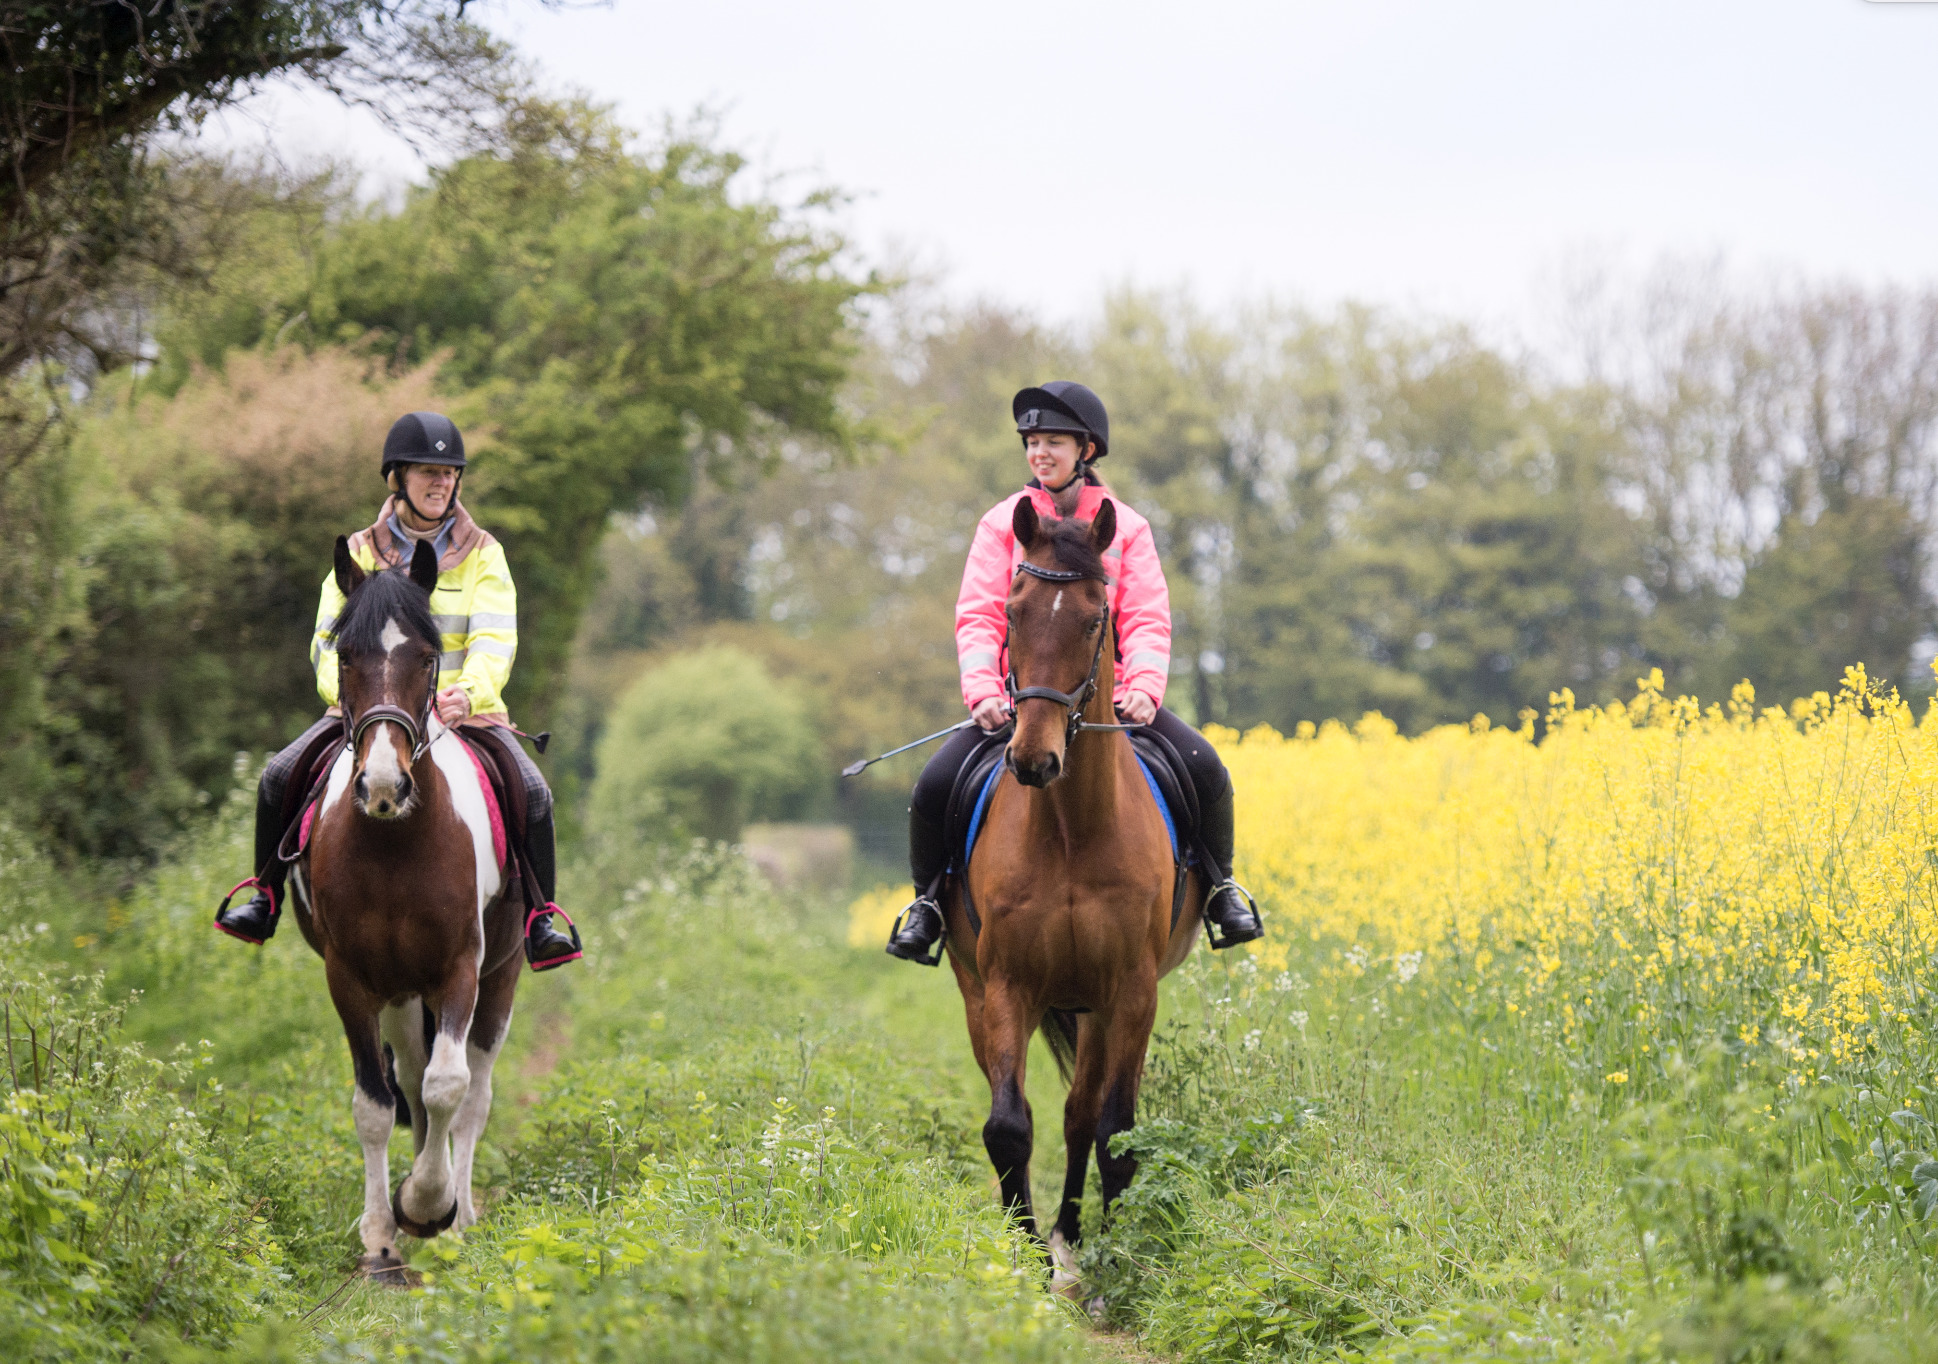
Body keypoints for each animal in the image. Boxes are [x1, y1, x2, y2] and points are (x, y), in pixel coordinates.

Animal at [286, 536, 525, 1278]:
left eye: (425, 657)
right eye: (343, 655)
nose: (385, 785)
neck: (395, 842)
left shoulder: (461, 968)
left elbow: (449, 1087)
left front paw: (429, 1206)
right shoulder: (352, 978)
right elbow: (376, 1103)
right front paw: (381, 1234)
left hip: (500, 977)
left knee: (473, 1093)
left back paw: (461, 1213)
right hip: (398, 993)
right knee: (412, 1081)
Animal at [941, 497, 1205, 1290]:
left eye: (1094, 619)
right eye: (1014, 610)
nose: (1033, 758)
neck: (1069, 831)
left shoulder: (1132, 991)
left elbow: (1116, 1132)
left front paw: (1112, 1261)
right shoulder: (1005, 985)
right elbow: (1007, 1125)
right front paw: (1027, 1255)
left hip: (1097, 1008)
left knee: (1083, 1114)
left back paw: (1072, 1235)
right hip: (986, 991)